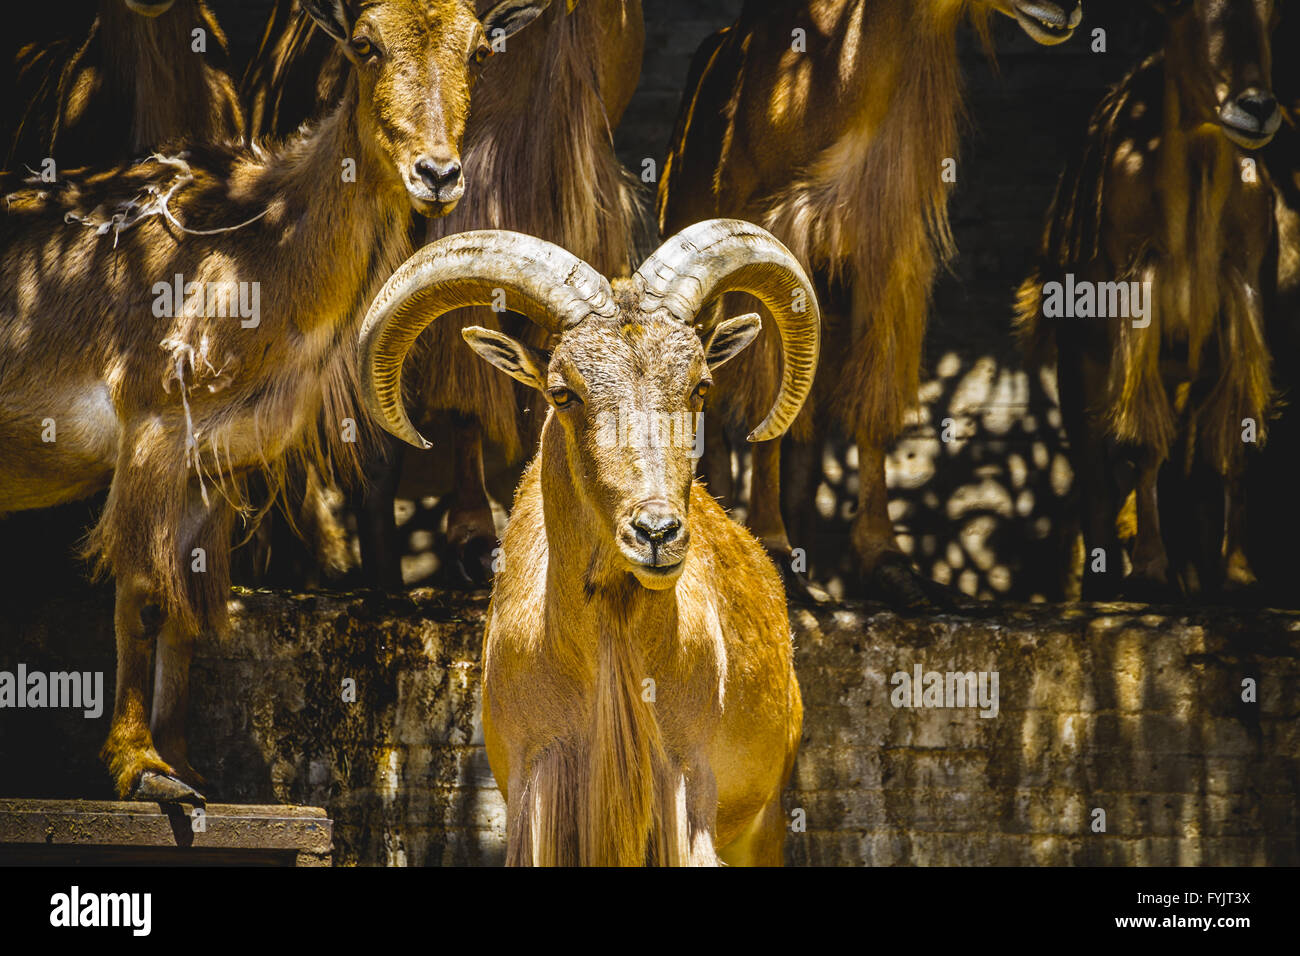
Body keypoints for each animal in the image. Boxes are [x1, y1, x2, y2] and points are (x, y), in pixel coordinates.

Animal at [356, 218, 819, 865]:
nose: (656, 533)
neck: (604, 653)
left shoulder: (687, 795)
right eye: (563, 392)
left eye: (700, 387)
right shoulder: (536, 796)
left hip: (764, 817)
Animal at [657, 0, 1083, 606]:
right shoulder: (775, 240)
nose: (1068, 10)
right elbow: (767, 405)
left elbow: (872, 405)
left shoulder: (882, 258)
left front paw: (889, 563)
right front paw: (775, 552)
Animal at [1017, 0, 1282, 598]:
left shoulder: (1242, 305)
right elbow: (1141, 445)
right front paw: (1151, 570)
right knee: (1094, 459)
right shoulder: (1135, 308)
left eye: (1267, 13)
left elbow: (1234, 440)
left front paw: (1239, 574)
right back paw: (1102, 577)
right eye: (1186, 12)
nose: (1256, 107)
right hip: (1081, 356)